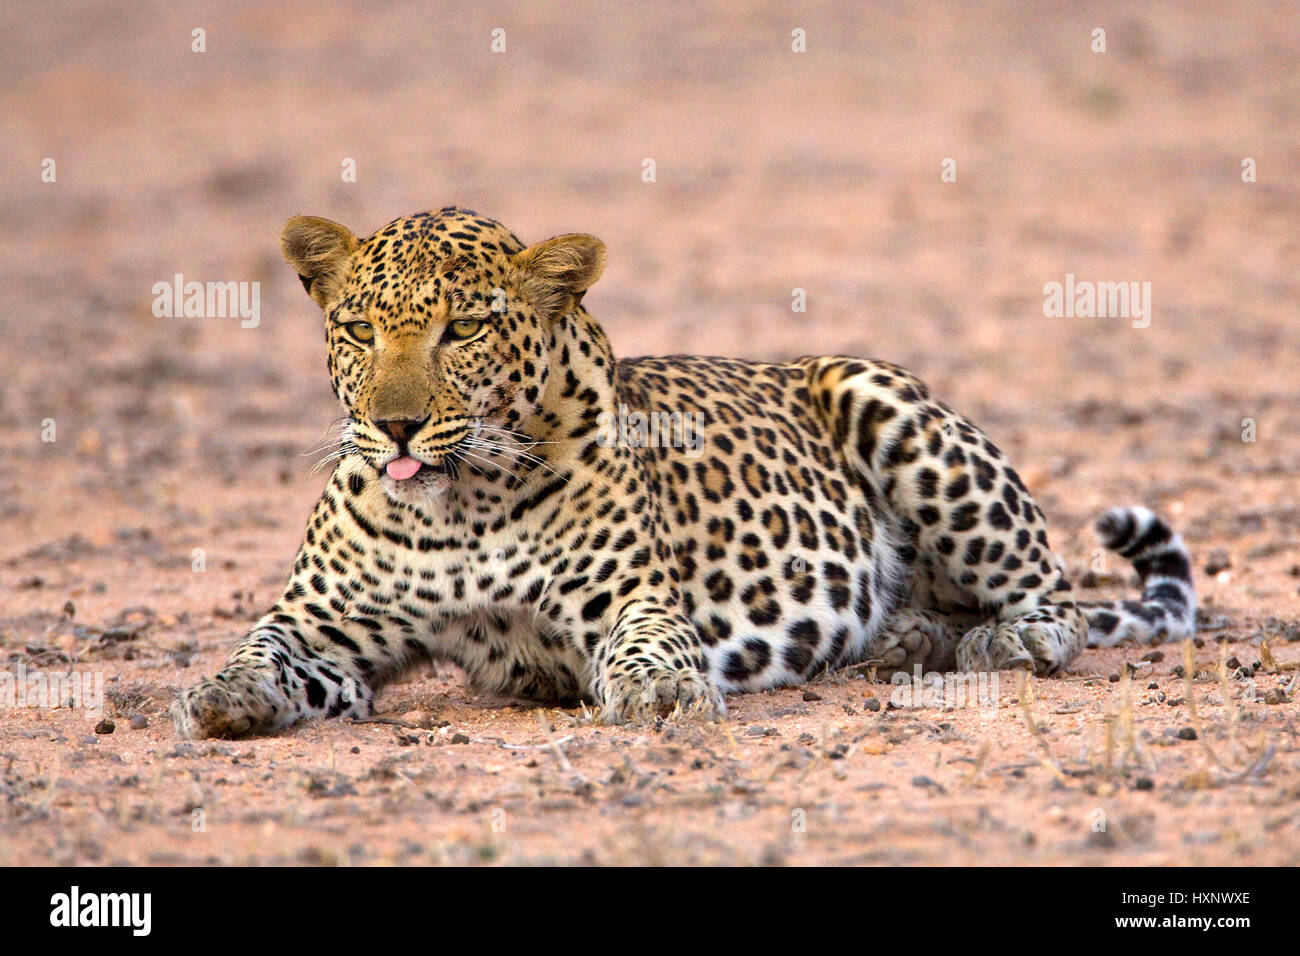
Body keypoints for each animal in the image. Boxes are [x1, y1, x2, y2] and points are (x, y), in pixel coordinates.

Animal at [172, 206, 1197, 739]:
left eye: (461, 330)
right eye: (356, 329)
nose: (395, 426)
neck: (454, 510)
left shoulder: (632, 598)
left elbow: (651, 644)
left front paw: (664, 690)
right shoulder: (325, 626)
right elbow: (260, 647)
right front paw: (218, 696)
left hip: (884, 398)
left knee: (1055, 597)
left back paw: (1005, 639)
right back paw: (902, 637)